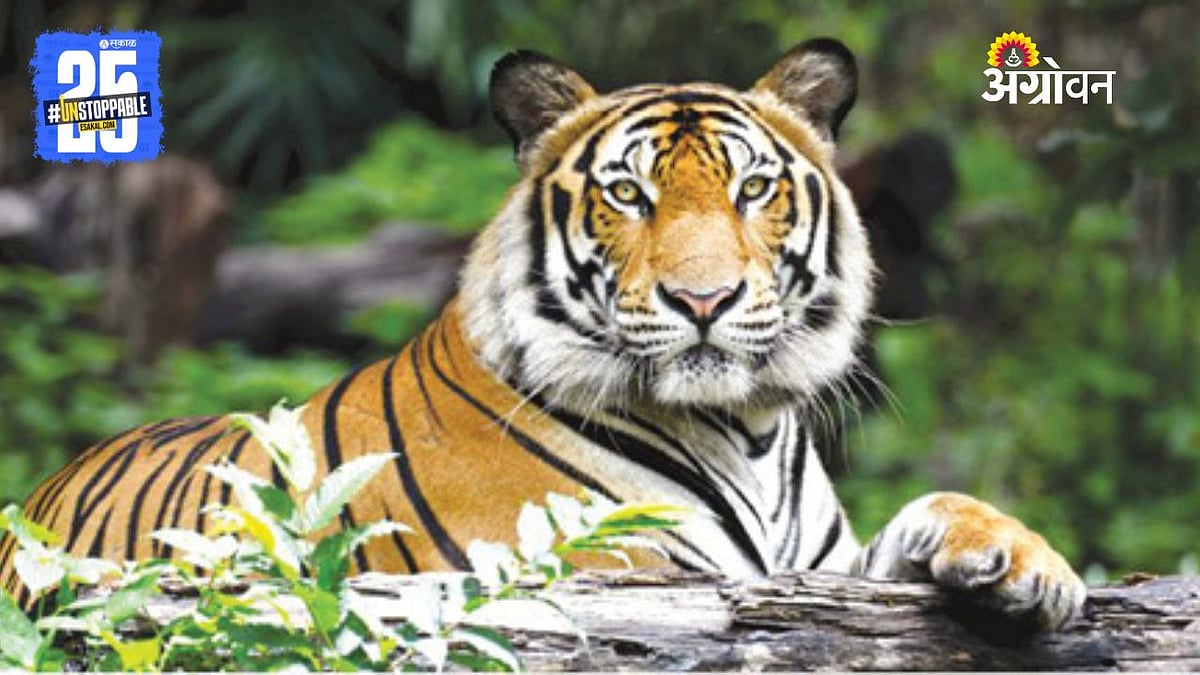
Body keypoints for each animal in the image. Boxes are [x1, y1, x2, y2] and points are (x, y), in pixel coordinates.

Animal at [0, 38, 1085, 629]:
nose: (704, 300)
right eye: (628, 194)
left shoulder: (817, 571)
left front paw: (1027, 564)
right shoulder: (610, 572)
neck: (746, 430)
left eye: (751, 189)